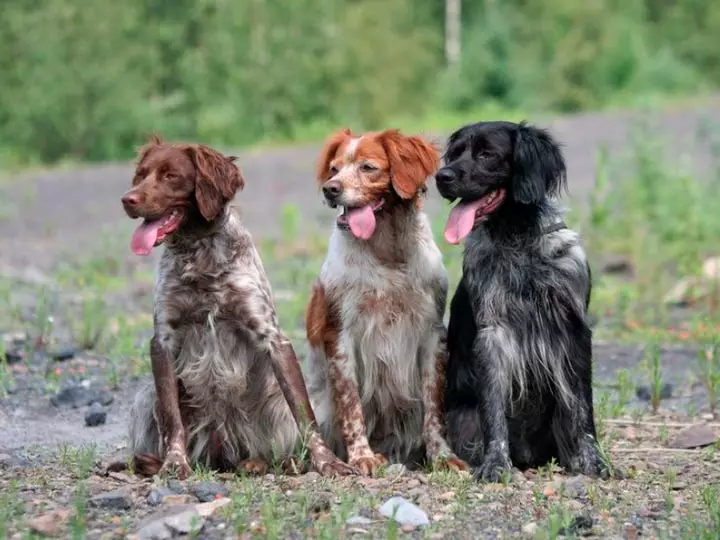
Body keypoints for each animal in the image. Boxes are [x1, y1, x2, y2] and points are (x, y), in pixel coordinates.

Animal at [124, 136, 360, 480]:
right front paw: (174, 462)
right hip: (145, 396)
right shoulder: (163, 340)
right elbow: (172, 419)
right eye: (140, 175)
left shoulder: (272, 337)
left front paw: (327, 462)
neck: (200, 255)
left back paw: (262, 463)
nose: (127, 200)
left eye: (170, 176)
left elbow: (305, 417)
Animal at [302, 129, 466, 474]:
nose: (330, 189)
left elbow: (434, 408)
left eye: (368, 168)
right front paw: (362, 456)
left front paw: (442, 456)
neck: (387, 252)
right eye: (334, 169)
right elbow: (351, 405)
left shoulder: (431, 334)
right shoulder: (340, 336)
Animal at [436, 121, 604, 480]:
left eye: (486, 154)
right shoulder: (493, 333)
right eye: (454, 154)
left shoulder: (575, 329)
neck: (518, 239)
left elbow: (583, 409)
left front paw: (595, 462)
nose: (442, 176)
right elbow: (493, 411)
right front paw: (496, 463)